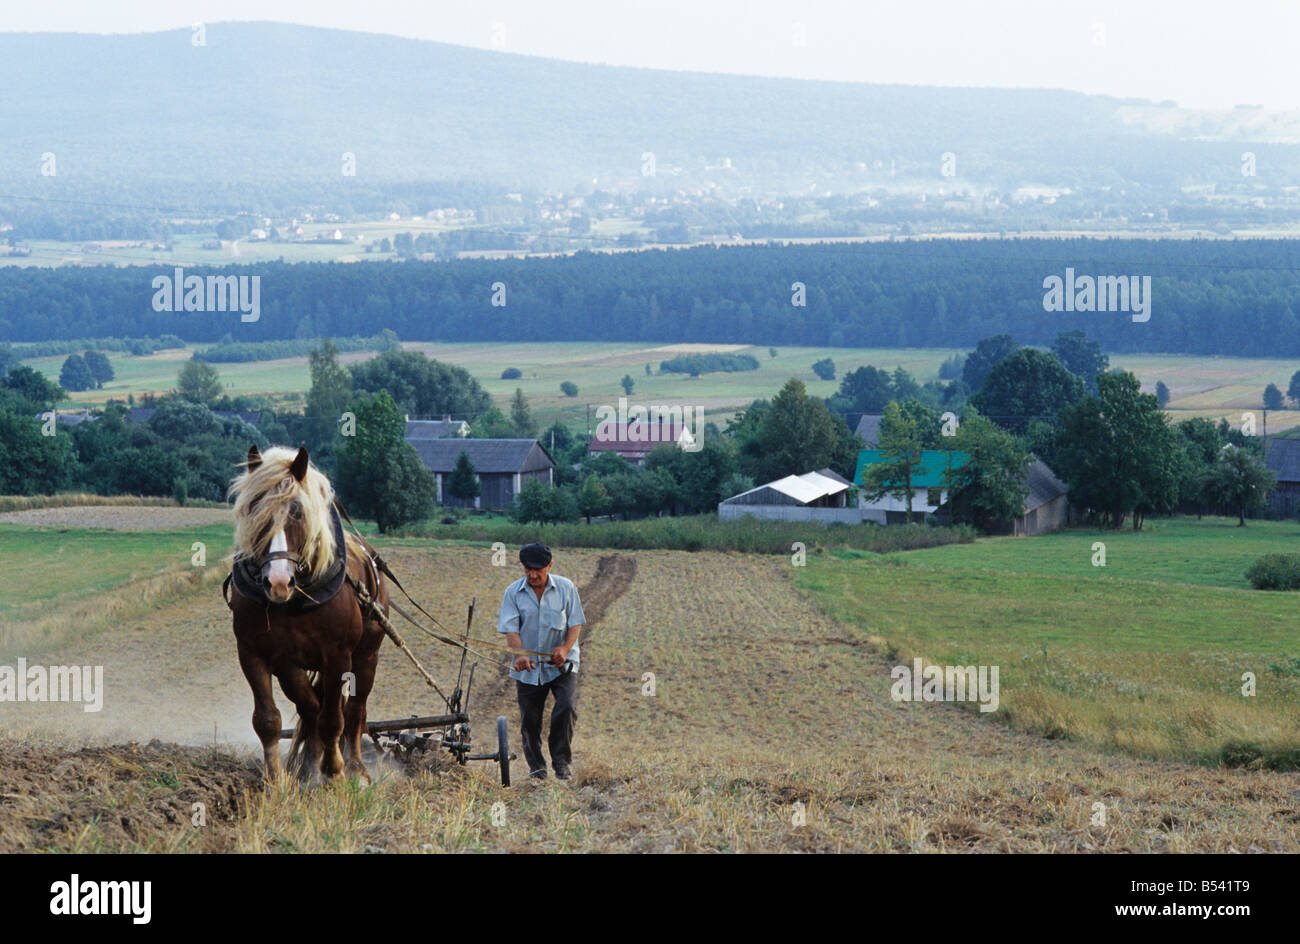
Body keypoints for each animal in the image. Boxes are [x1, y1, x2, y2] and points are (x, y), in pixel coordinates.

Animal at [226, 444, 390, 784]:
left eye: (298, 512)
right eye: (254, 509)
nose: (277, 581)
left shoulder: (338, 656)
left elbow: (333, 719)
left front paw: (335, 772)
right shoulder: (256, 654)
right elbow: (269, 719)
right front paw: (276, 780)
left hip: (367, 655)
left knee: (355, 711)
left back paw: (356, 768)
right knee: (311, 706)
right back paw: (309, 765)